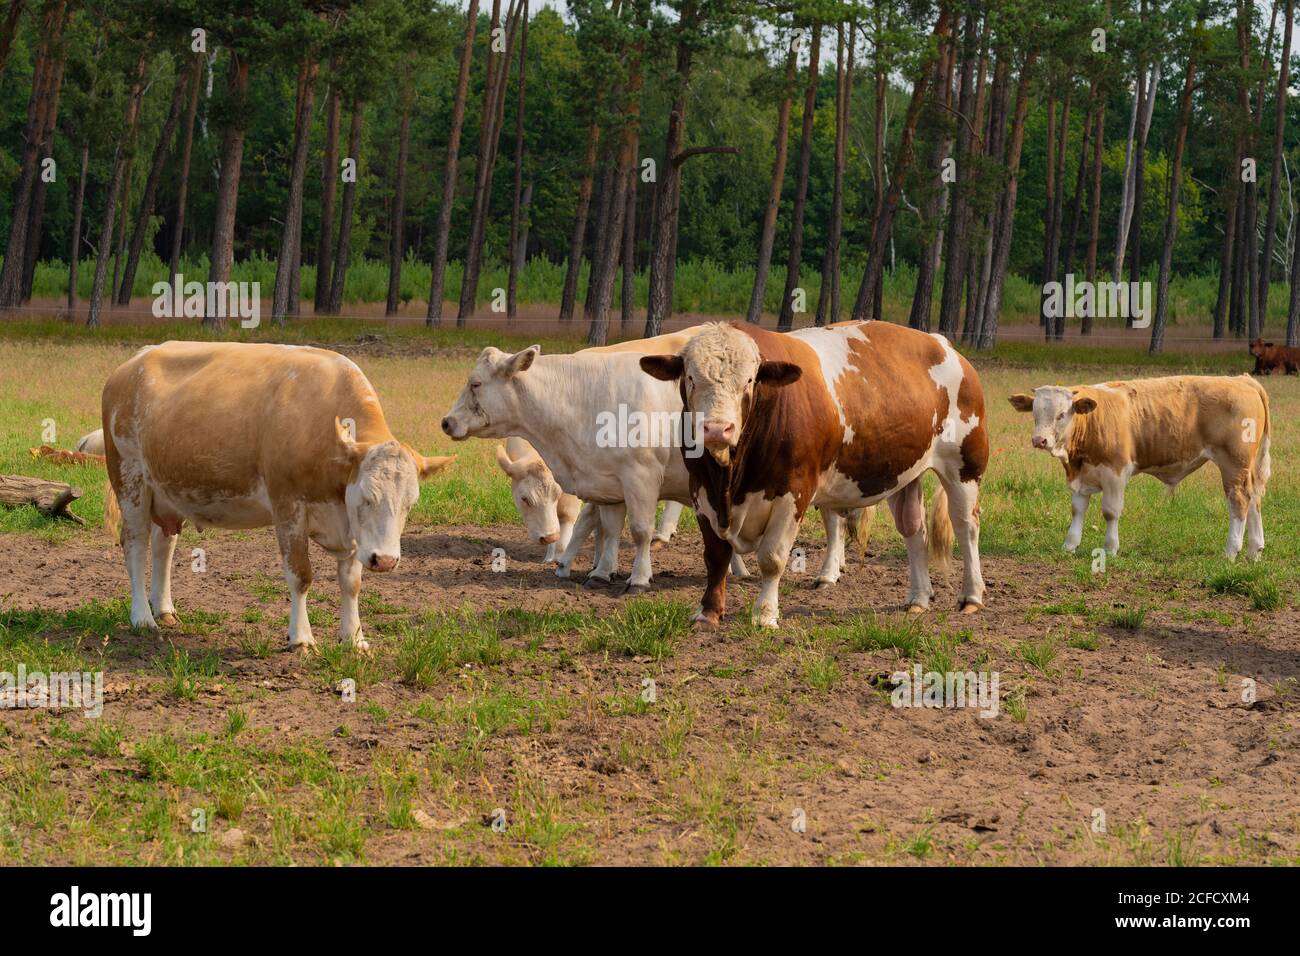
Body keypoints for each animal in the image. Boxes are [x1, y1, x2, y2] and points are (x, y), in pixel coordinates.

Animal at [102, 341, 454, 650]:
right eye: (367, 497)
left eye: (410, 503)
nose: (386, 560)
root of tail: (133, 363)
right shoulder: (288, 508)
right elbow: (300, 575)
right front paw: (301, 638)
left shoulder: (350, 528)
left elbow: (351, 582)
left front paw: (354, 640)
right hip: (130, 479)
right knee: (136, 546)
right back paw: (143, 618)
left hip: (167, 492)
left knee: (164, 545)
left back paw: (163, 609)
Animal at [639, 320, 988, 628]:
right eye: (690, 377)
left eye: (750, 381)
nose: (715, 429)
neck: (732, 476)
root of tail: (941, 344)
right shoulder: (702, 491)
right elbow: (715, 556)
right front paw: (708, 613)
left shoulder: (793, 493)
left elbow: (772, 558)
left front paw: (764, 615)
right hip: (904, 473)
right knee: (914, 530)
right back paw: (918, 597)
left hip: (965, 466)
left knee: (966, 526)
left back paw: (971, 596)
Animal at [1008, 376, 1271, 561]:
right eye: (1034, 413)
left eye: (1062, 414)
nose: (1040, 440)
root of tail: (1241, 379)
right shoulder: (1080, 475)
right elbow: (1077, 510)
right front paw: (1070, 545)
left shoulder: (1115, 472)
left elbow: (1110, 511)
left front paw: (1110, 548)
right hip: (1246, 469)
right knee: (1254, 497)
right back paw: (1255, 550)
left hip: (1233, 464)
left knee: (1239, 501)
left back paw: (1231, 551)